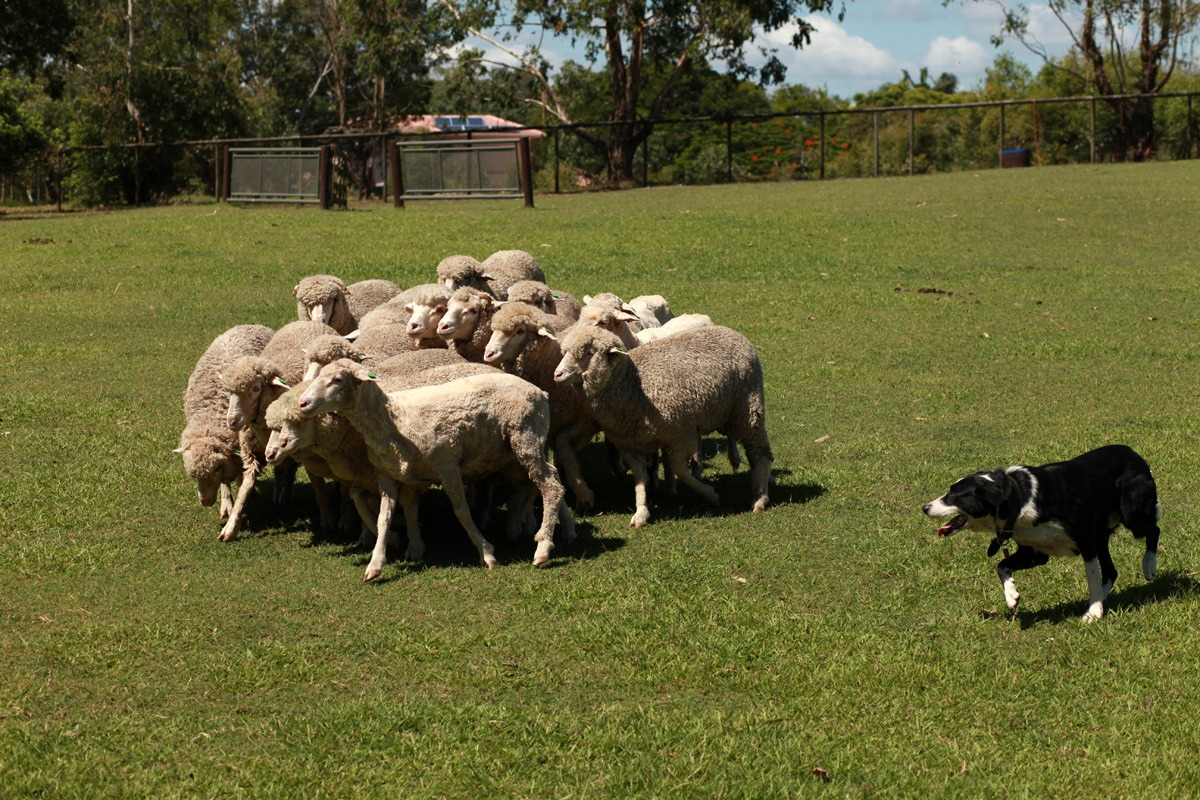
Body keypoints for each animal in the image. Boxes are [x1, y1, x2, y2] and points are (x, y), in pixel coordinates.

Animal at [175, 321, 274, 515]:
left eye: (216, 468)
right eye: (194, 475)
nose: (205, 502)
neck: (212, 417)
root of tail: (250, 324)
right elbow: (226, 481)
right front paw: (226, 501)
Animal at [218, 319, 340, 544]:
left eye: (255, 388)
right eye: (229, 392)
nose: (231, 421)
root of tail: (307, 321)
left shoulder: (304, 446)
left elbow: (317, 482)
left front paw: (327, 516)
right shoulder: (250, 453)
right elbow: (246, 487)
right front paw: (231, 526)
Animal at [294, 359, 566, 578]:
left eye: (338, 380)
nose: (302, 404)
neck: (394, 419)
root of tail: (539, 391)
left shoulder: (446, 465)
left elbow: (461, 511)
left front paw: (486, 553)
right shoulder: (387, 476)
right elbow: (383, 519)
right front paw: (375, 564)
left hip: (526, 436)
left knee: (550, 486)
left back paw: (543, 547)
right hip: (518, 449)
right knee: (542, 480)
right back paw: (523, 528)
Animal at [549, 321, 772, 527]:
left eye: (589, 352)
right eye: (565, 352)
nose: (557, 374)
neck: (631, 383)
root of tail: (731, 331)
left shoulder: (680, 435)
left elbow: (679, 469)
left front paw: (711, 494)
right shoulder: (630, 441)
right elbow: (640, 477)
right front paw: (641, 511)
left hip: (748, 407)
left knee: (761, 453)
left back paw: (760, 497)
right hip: (728, 412)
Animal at [921, 448, 1156, 623]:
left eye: (953, 495)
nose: (925, 507)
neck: (1018, 498)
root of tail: (1132, 452)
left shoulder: (1085, 543)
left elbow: (1091, 577)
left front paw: (1094, 613)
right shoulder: (1035, 553)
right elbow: (1001, 565)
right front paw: (1011, 595)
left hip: (1132, 513)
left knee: (1154, 529)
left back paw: (1149, 565)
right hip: (1102, 535)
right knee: (1110, 572)